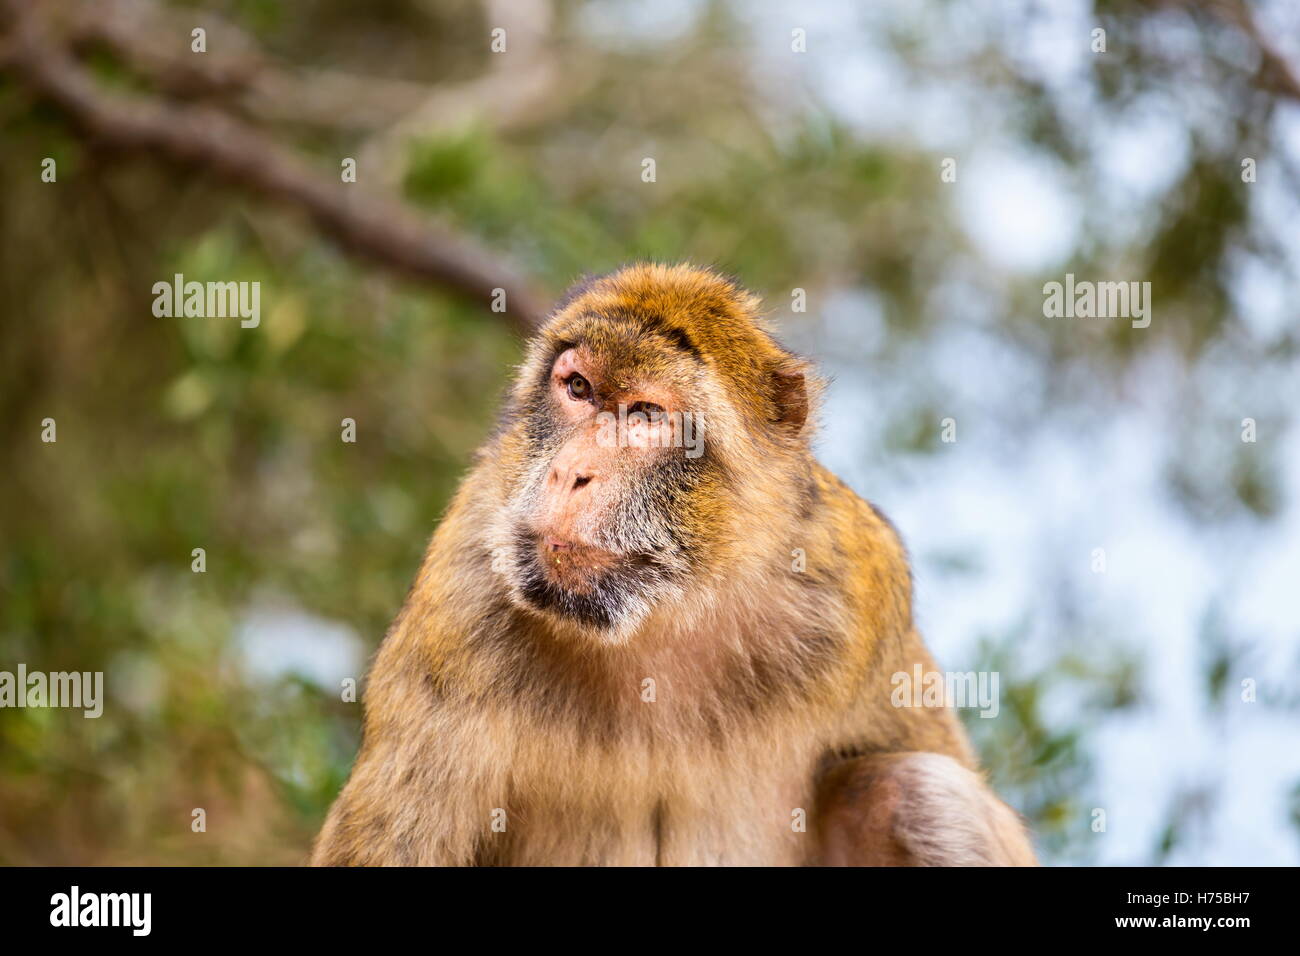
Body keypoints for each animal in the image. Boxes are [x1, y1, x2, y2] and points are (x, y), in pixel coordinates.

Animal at [312, 263, 1037, 866]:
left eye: (645, 414)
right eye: (578, 388)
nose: (570, 473)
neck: (662, 615)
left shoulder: (858, 585)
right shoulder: (458, 599)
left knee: (914, 790)